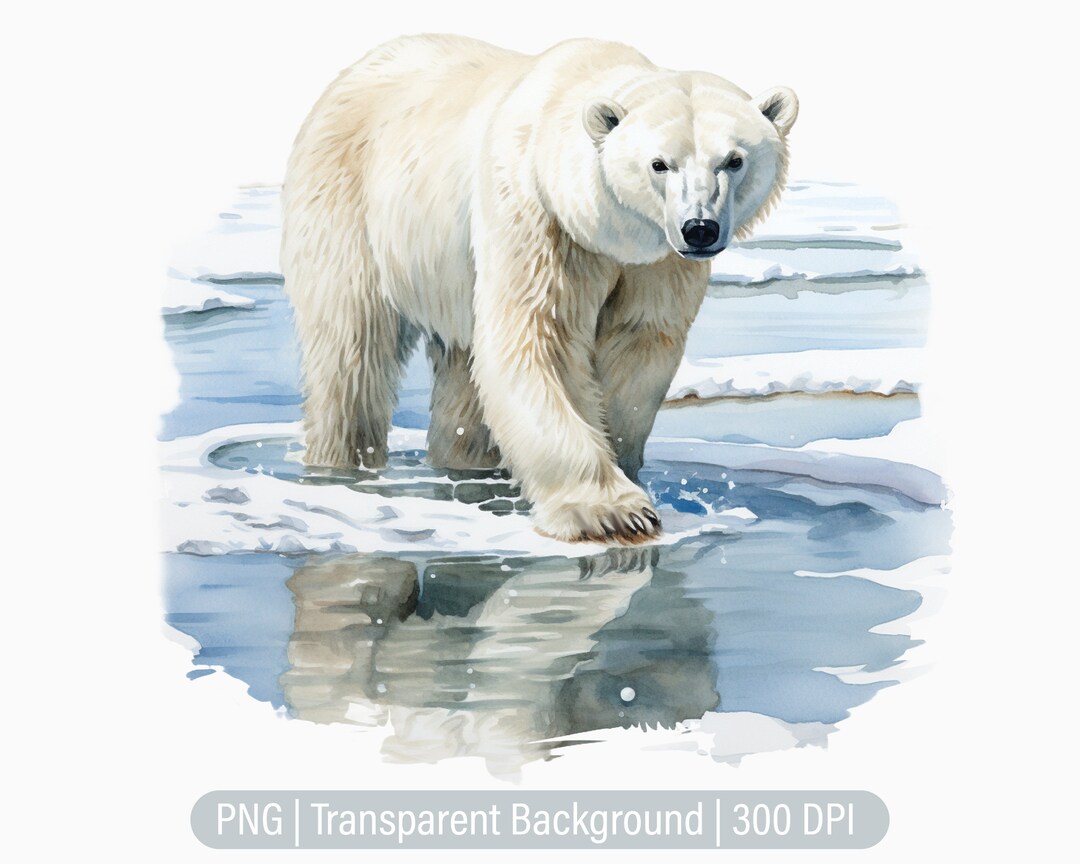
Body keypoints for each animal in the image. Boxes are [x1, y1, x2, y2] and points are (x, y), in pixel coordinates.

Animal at [281, 35, 797, 544]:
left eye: (734, 160)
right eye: (659, 164)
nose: (699, 229)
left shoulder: (656, 263)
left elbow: (639, 345)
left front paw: (623, 470)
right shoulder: (537, 216)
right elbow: (540, 339)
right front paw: (610, 511)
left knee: (461, 372)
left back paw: (465, 464)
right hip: (352, 207)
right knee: (352, 347)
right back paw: (342, 466)